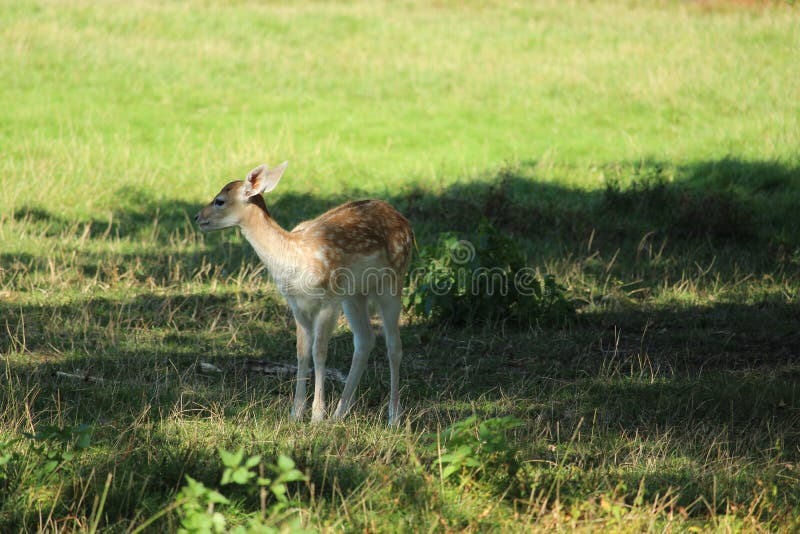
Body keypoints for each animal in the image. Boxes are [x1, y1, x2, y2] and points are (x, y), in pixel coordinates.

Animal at [194, 161, 414, 425]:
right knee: (365, 339)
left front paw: (317, 415)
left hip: (393, 278)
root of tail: (405, 222)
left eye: (219, 200)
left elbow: (319, 352)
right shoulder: (296, 304)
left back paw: (393, 417)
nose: (198, 217)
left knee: (394, 345)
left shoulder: (328, 300)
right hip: (354, 294)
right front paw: (296, 412)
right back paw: (340, 413)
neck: (294, 256)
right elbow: (301, 352)